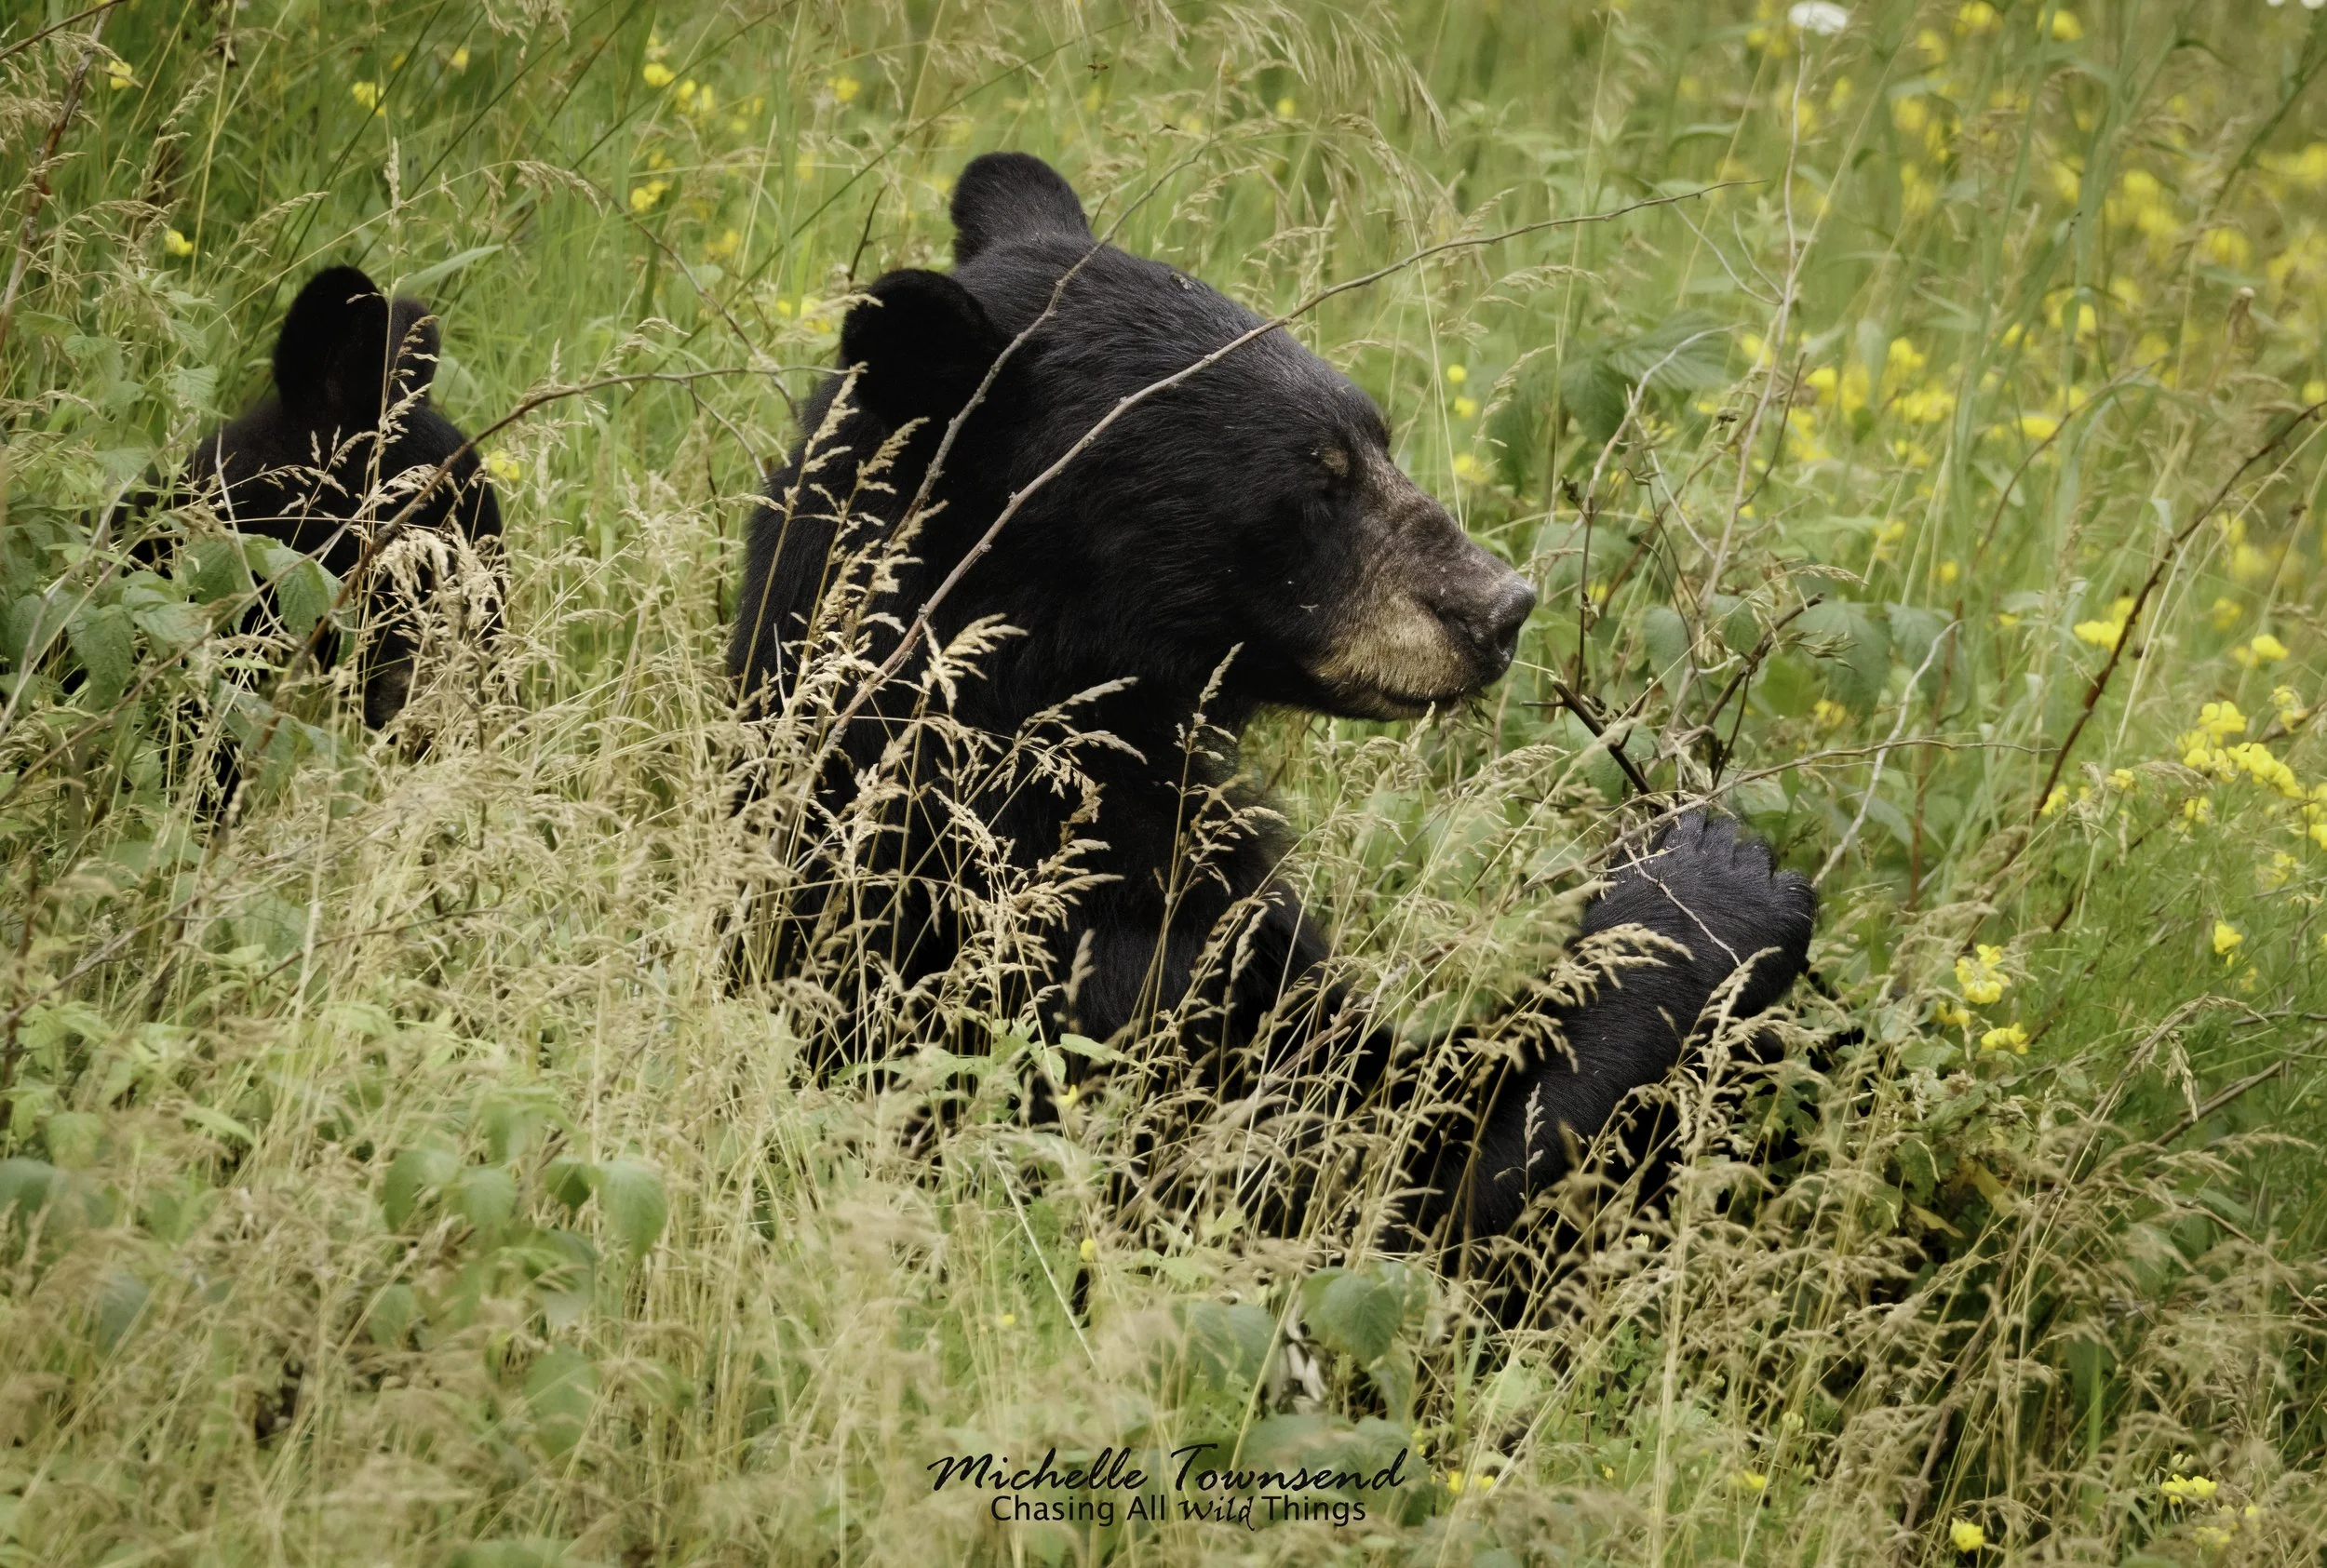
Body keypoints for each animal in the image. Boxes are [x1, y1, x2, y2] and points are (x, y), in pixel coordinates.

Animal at [727, 152, 1816, 1256]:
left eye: (1377, 438)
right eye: (1316, 479)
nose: (1500, 606)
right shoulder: (1056, 944)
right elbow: (1374, 1160)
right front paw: (1708, 876)